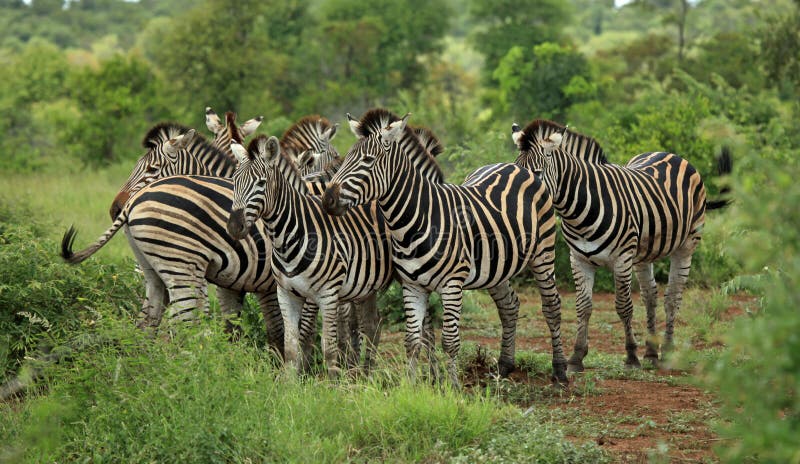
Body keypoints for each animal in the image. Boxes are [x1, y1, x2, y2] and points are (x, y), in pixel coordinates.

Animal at [226, 135, 394, 378]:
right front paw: (290, 384)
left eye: (261, 183)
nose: (233, 226)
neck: (289, 238)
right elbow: (290, 347)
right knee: (373, 324)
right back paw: (365, 376)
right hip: (367, 284)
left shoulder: (328, 295)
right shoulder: (286, 294)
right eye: (234, 182)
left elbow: (328, 348)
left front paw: (332, 384)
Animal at [321, 108, 568, 387]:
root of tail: (517, 168)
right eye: (347, 159)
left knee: (552, 306)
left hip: (543, 253)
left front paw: (452, 387)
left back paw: (560, 370)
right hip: (497, 266)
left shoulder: (452, 284)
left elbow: (449, 341)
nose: (327, 199)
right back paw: (504, 366)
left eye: (367, 160)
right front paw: (412, 387)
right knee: (509, 305)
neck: (416, 221)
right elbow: (413, 340)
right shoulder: (412, 286)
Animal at [511, 119, 732, 372]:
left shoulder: (622, 258)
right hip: (644, 253)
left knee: (673, 296)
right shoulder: (579, 259)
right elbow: (583, 306)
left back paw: (666, 352)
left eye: (537, 173)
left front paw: (631, 356)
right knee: (650, 295)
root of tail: (671, 154)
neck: (579, 211)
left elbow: (623, 305)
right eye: (515, 168)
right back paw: (651, 353)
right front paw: (576, 357)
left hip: (686, 245)